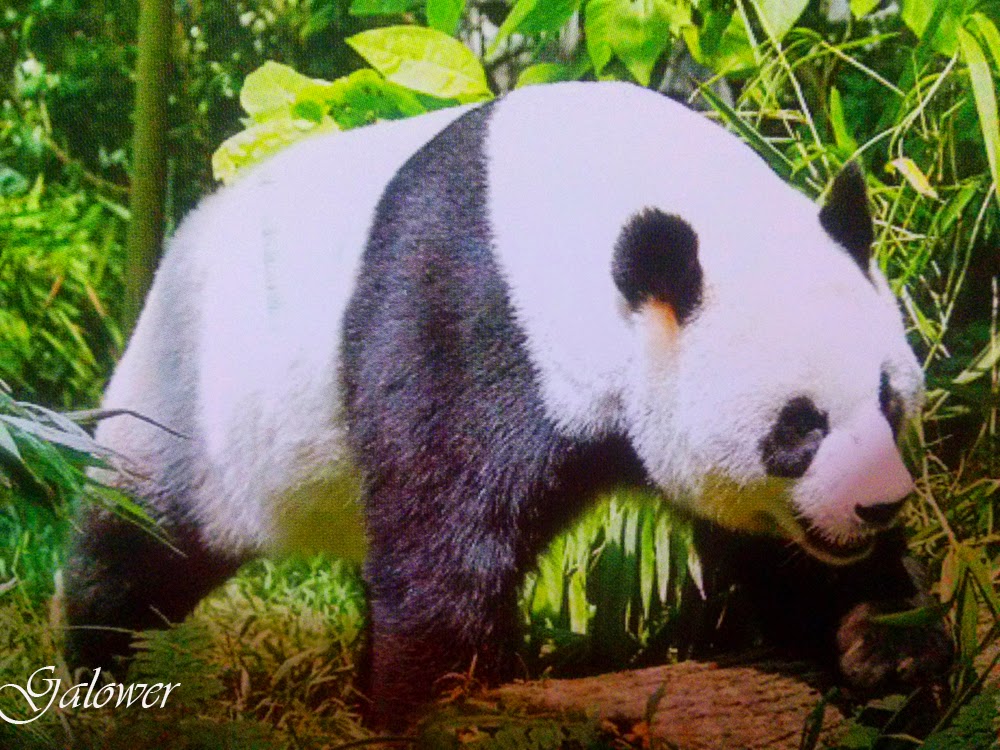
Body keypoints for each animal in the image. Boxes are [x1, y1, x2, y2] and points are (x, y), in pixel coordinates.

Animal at [64, 81, 951, 727]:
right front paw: (431, 705)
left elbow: (778, 549)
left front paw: (886, 647)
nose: (878, 505)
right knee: (140, 545)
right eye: (798, 427)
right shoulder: (470, 316)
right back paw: (100, 673)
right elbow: (448, 543)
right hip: (190, 403)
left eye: (888, 401)